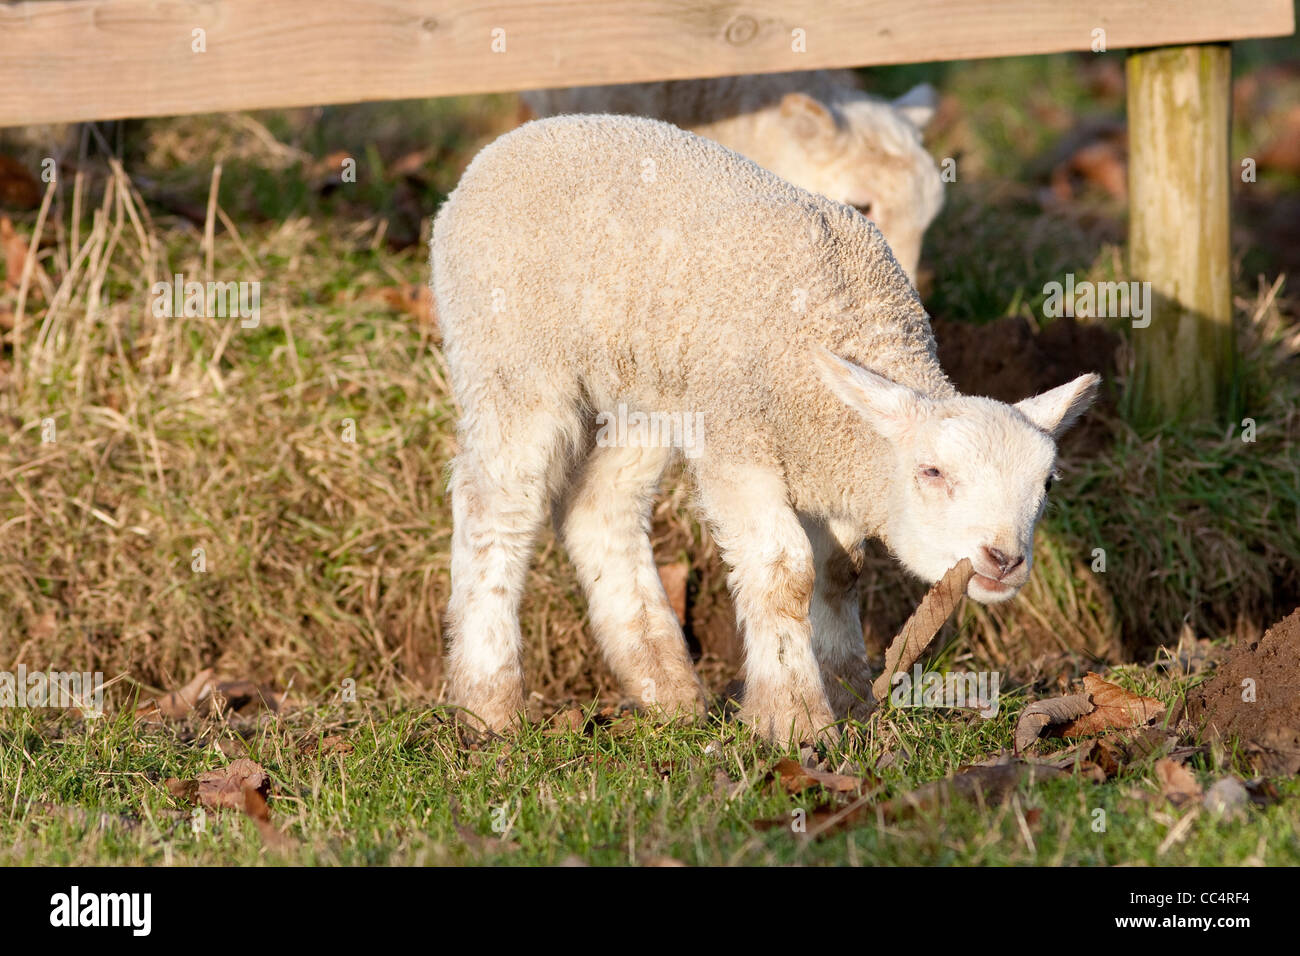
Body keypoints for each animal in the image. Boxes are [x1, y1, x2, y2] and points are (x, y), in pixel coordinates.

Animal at [431, 114, 1099, 744]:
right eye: (931, 472)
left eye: (1046, 485)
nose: (1004, 559)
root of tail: (503, 146)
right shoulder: (738, 441)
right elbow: (785, 572)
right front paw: (793, 718)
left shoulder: (829, 466)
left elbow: (841, 571)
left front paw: (851, 697)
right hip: (509, 355)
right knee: (497, 503)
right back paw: (489, 702)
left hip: (645, 391)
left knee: (600, 505)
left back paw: (666, 689)